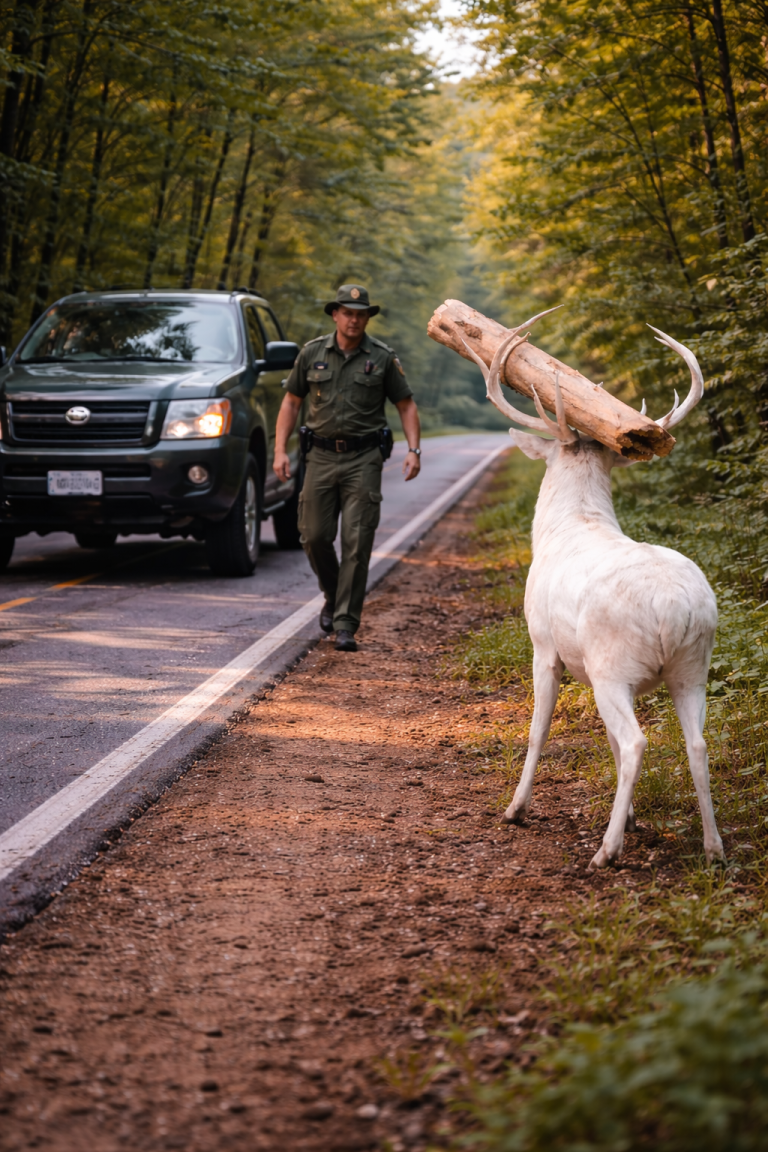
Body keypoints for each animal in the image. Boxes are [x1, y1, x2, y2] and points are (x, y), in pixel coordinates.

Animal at [463, 312, 725, 869]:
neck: (572, 522)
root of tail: (675, 609)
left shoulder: (544, 645)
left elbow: (538, 730)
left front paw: (516, 808)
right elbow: (604, 739)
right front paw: (632, 817)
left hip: (613, 663)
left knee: (636, 742)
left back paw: (606, 851)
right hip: (694, 665)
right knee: (696, 743)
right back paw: (713, 848)